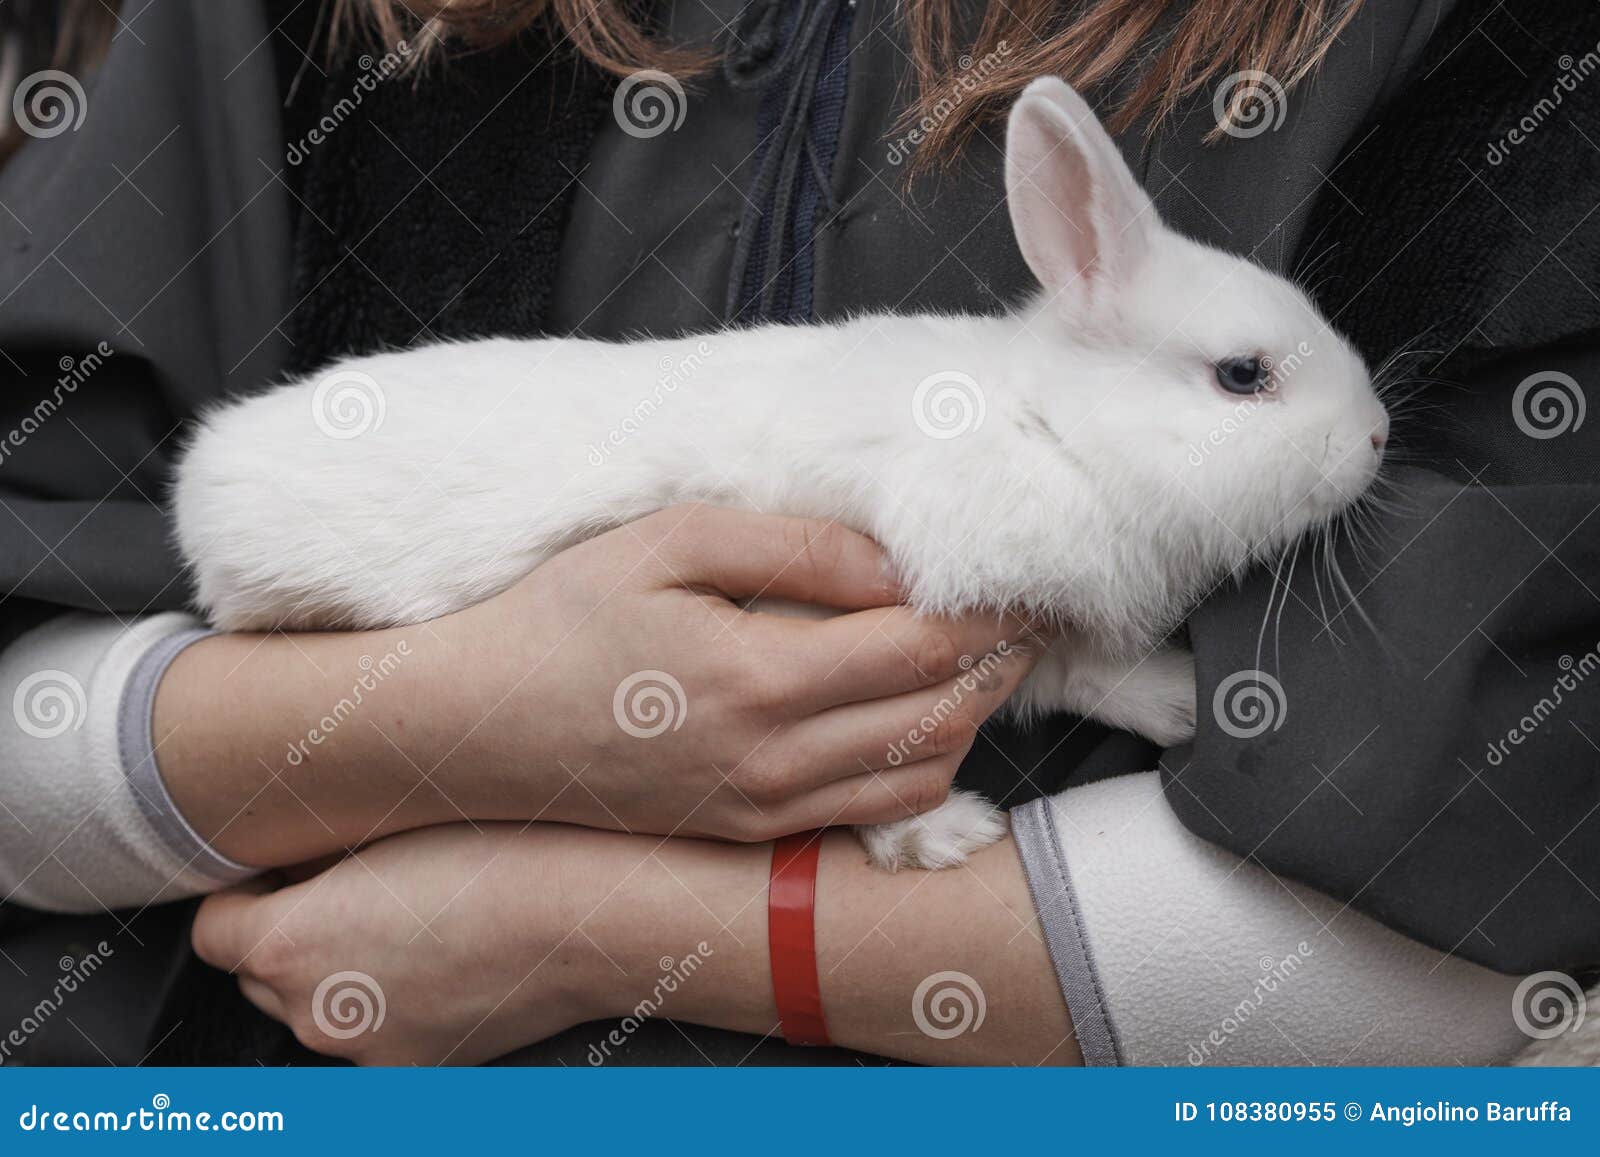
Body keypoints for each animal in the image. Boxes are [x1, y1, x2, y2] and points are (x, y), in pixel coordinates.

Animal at [173, 77, 1390, 871]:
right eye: (1242, 376)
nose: (1379, 435)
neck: (1050, 428)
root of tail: (205, 488)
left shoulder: (1031, 633)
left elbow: (1084, 674)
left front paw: (1181, 698)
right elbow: (883, 775)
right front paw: (940, 837)